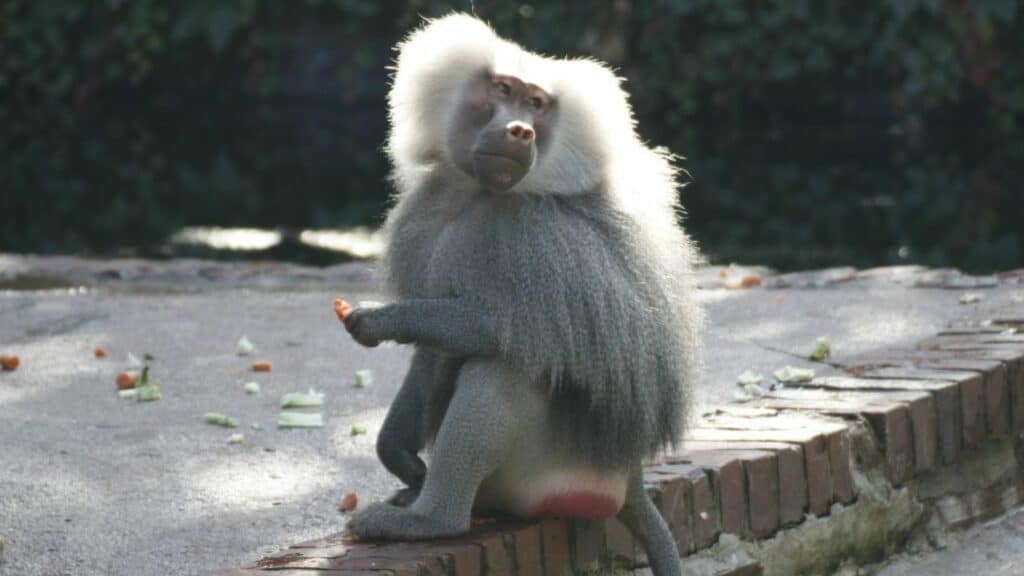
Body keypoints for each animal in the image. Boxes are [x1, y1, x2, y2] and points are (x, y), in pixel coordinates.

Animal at [338, 14, 702, 576]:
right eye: (504, 90)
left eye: (537, 104)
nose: (520, 130)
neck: (477, 195)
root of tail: (631, 480)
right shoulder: (426, 217)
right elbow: (433, 353)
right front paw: (396, 452)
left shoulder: (540, 240)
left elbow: (506, 329)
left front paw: (381, 319)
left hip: (559, 469)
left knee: (509, 362)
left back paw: (427, 520)